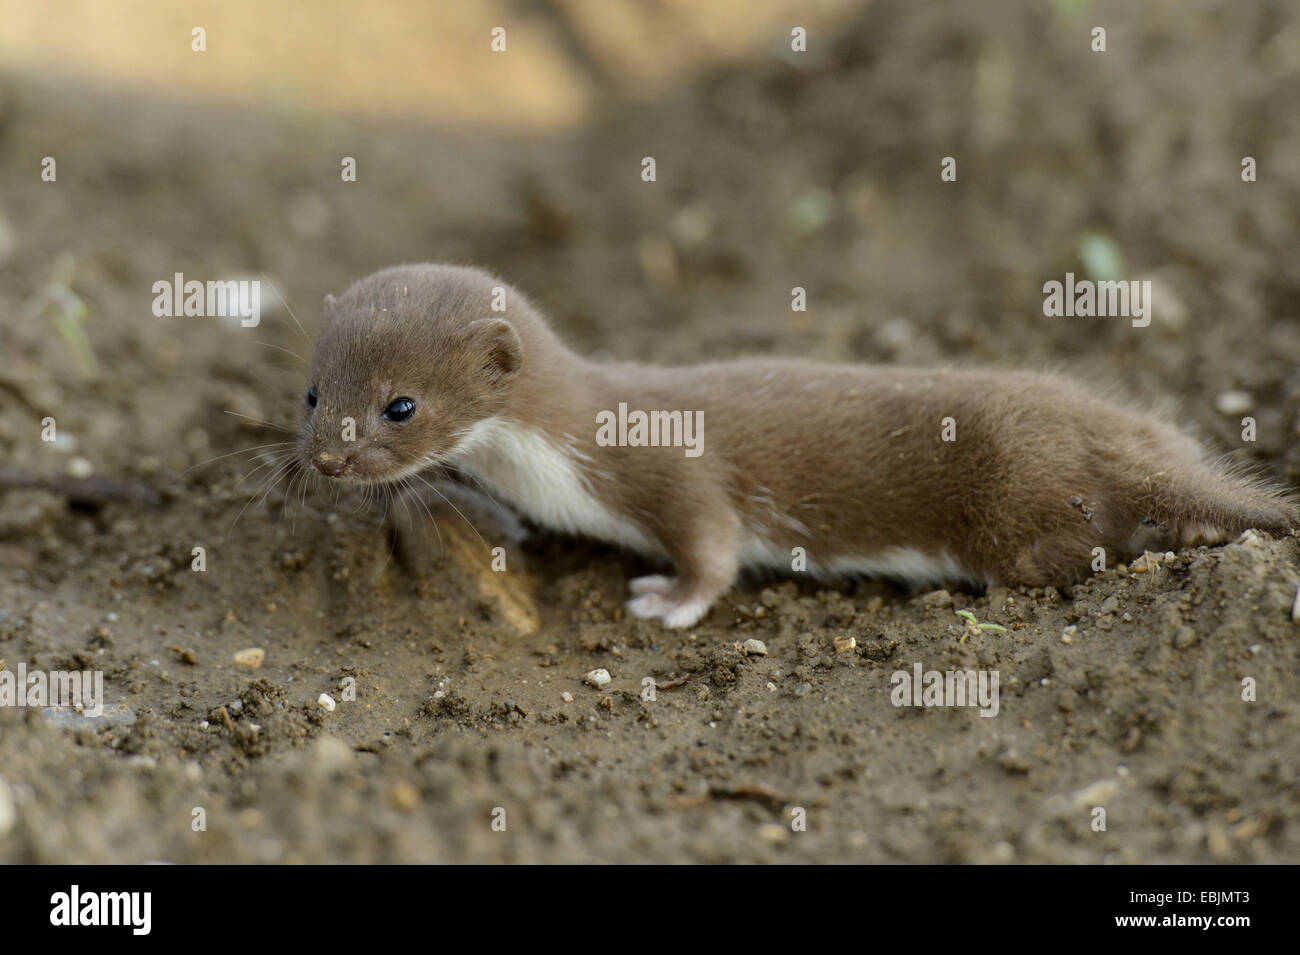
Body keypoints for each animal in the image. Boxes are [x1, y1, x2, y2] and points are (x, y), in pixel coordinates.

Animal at [299, 265, 1294, 631]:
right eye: (313, 392)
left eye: (399, 404)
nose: (326, 461)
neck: (553, 462)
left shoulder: (671, 470)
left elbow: (711, 544)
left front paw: (664, 600)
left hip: (1020, 508)